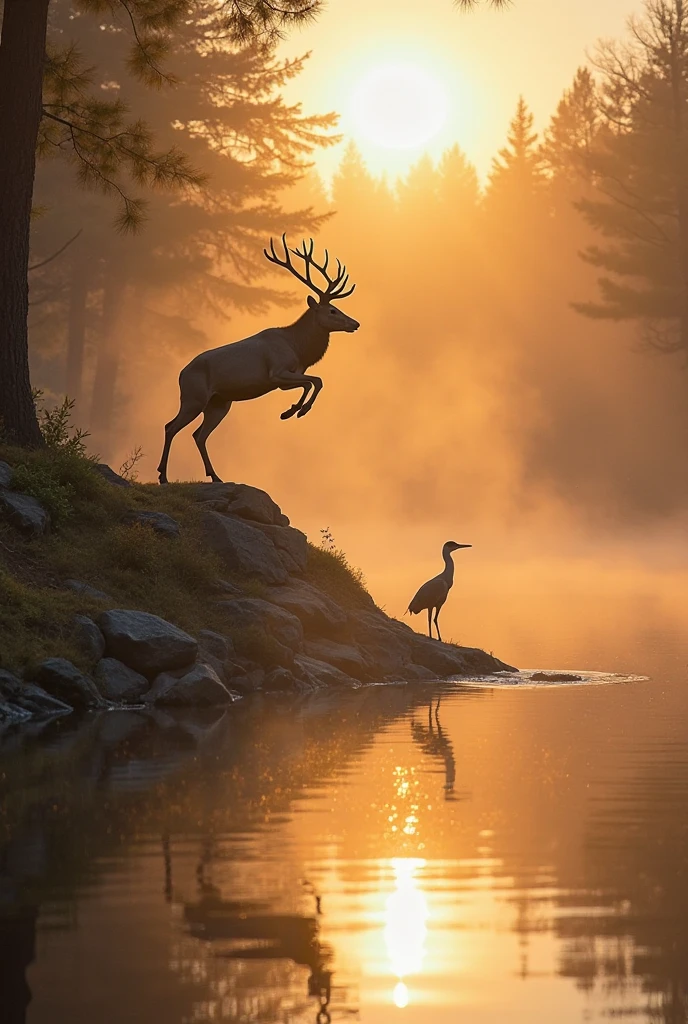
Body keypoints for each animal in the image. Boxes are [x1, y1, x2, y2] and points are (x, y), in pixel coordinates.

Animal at [157, 235, 360, 484]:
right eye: (332, 311)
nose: (355, 323)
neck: (297, 348)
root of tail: (181, 374)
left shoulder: (287, 377)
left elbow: (312, 382)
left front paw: (292, 411)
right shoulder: (276, 372)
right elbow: (315, 380)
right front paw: (295, 411)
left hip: (219, 402)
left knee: (199, 434)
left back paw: (215, 476)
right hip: (194, 397)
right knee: (171, 427)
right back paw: (163, 476)